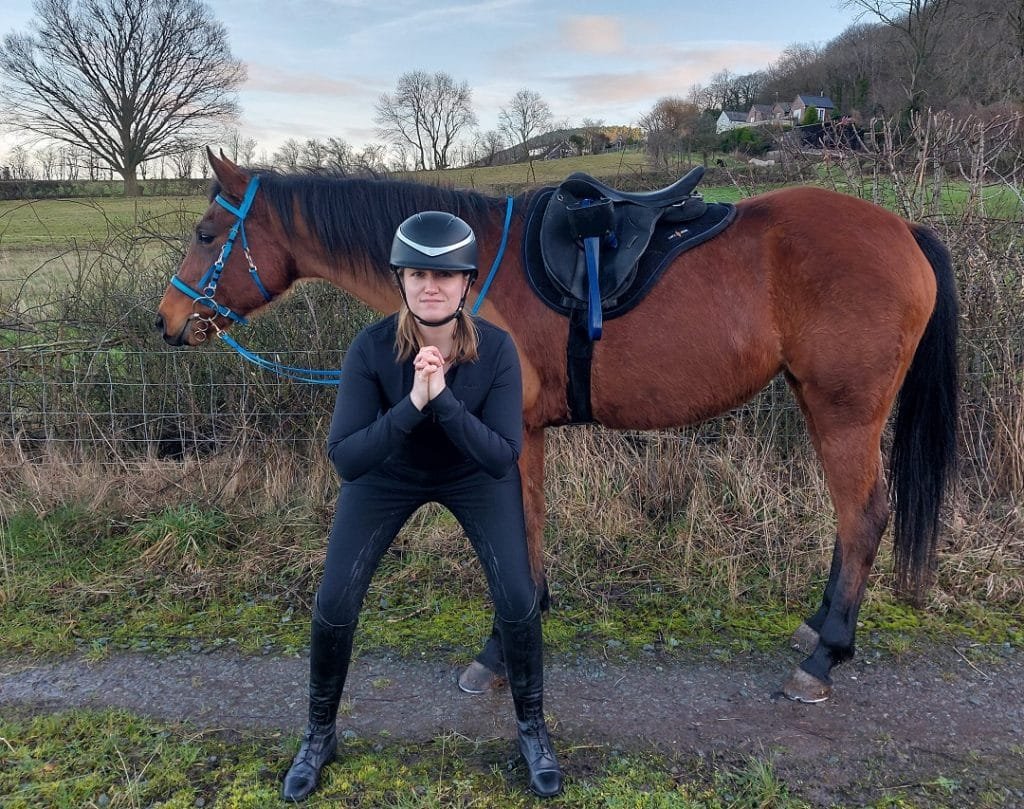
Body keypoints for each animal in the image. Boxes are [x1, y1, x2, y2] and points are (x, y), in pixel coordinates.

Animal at [156, 151, 958, 703]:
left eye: (206, 232)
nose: (166, 322)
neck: (465, 272)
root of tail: (904, 230)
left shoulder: (509, 431)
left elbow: (517, 531)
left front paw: (497, 651)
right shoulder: (525, 436)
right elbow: (532, 526)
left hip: (844, 410)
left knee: (863, 515)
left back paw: (823, 657)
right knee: (853, 518)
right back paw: (817, 629)